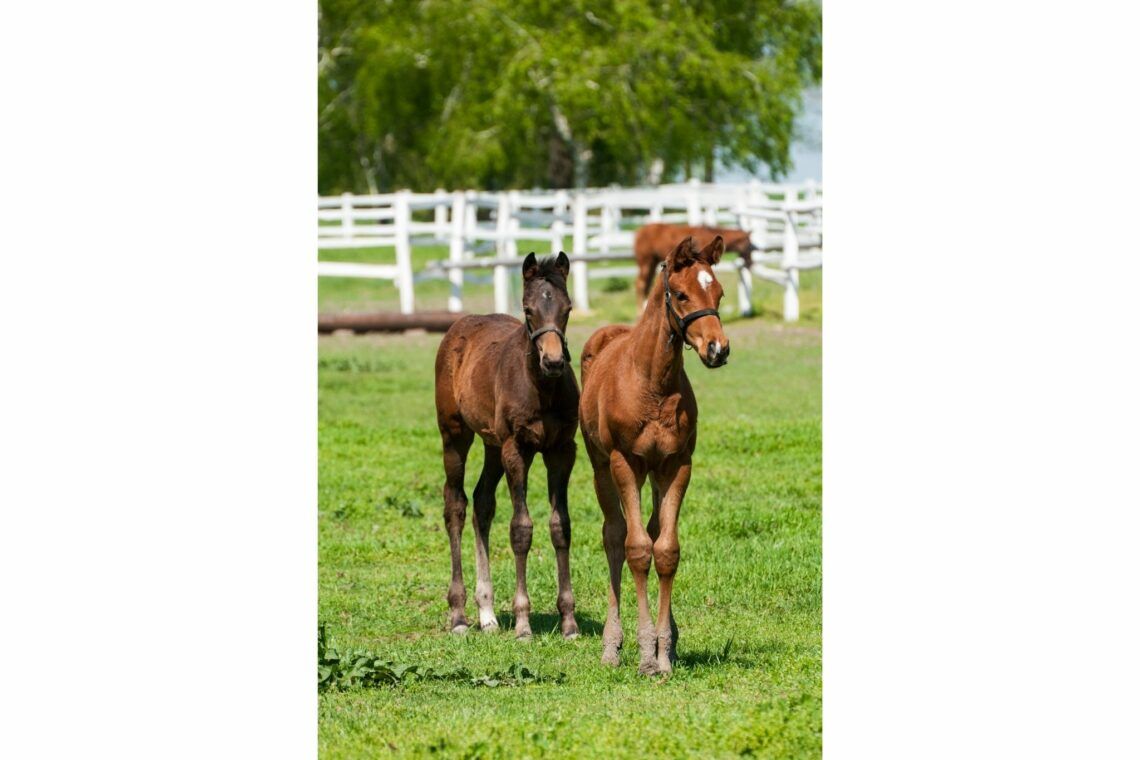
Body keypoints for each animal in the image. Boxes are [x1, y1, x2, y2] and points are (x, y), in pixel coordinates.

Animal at [433, 251, 580, 640]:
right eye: (528, 310)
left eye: (568, 308)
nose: (554, 362)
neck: (542, 388)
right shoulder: (517, 449)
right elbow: (521, 529)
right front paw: (524, 622)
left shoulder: (563, 451)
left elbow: (560, 526)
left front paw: (569, 621)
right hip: (455, 435)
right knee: (456, 505)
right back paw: (459, 614)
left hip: (492, 445)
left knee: (482, 504)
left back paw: (487, 614)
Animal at [579, 235, 730, 674]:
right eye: (680, 294)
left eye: (719, 292)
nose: (718, 349)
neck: (652, 382)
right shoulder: (624, 462)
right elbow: (637, 548)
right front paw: (646, 652)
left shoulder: (677, 464)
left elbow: (665, 548)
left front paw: (666, 650)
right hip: (602, 466)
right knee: (614, 535)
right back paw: (611, 646)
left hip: (654, 472)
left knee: (652, 527)